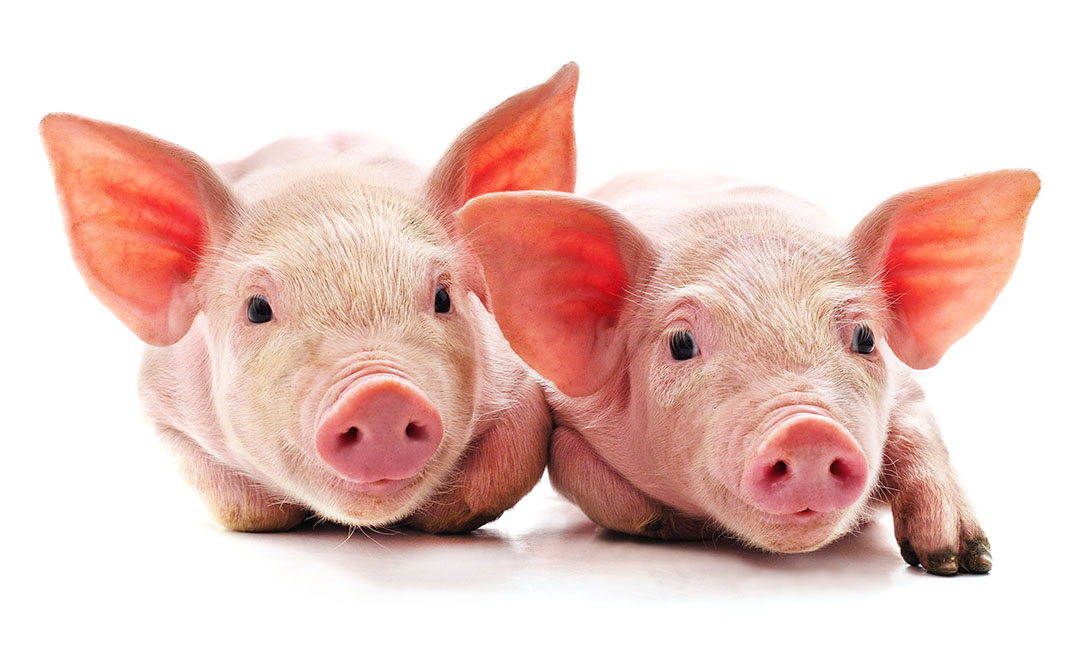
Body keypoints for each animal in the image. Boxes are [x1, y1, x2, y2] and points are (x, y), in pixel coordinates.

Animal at [41, 63, 579, 533]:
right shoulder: (164, 406)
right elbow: (248, 512)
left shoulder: (520, 384)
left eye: (443, 297)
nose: (380, 394)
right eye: (258, 308)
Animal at [459, 168, 1038, 574]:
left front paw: (960, 562)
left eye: (866, 337)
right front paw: (671, 528)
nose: (808, 430)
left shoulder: (907, 388)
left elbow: (921, 435)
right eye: (681, 343)